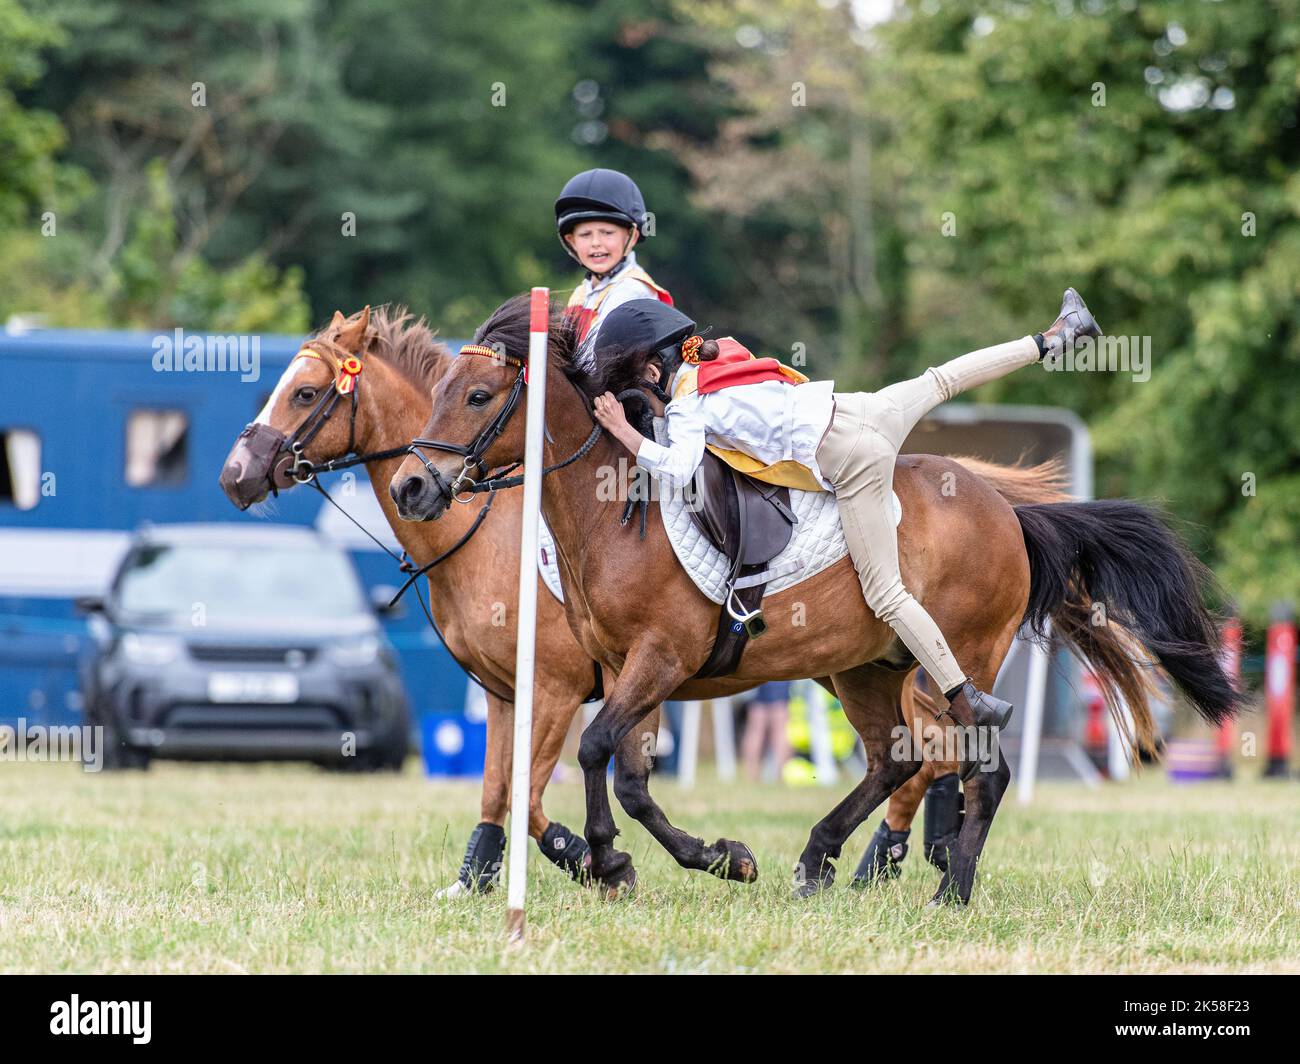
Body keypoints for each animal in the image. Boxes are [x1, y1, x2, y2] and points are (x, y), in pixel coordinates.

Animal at [389, 294, 1239, 905]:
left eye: (476, 396)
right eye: (437, 392)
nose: (411, 487)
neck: (610, 514)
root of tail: (1007, 510)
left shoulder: (654, 661)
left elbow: (597, 755)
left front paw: (640, 859)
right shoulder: (622, 671)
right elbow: (620, 775)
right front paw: (672, 860)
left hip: (951, 656)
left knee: (974, 764)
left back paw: (947, 890)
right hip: (861, 668)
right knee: (896, 759)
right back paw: (820, 859)